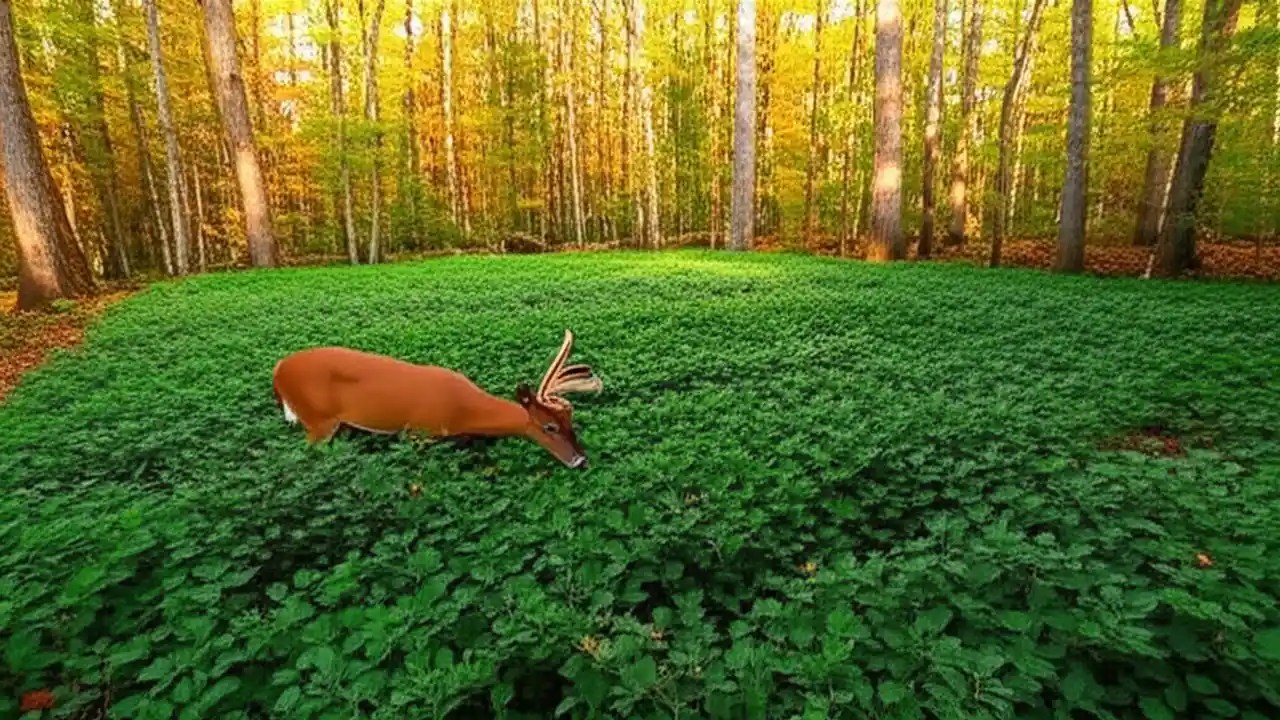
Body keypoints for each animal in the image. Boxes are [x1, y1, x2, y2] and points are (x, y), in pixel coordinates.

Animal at [271, 330, 603, 469]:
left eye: (571, 421)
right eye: (548, 427)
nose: (581, 460)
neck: (463, 411)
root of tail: (277, 371)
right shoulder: (418, 431)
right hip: (317, 419)